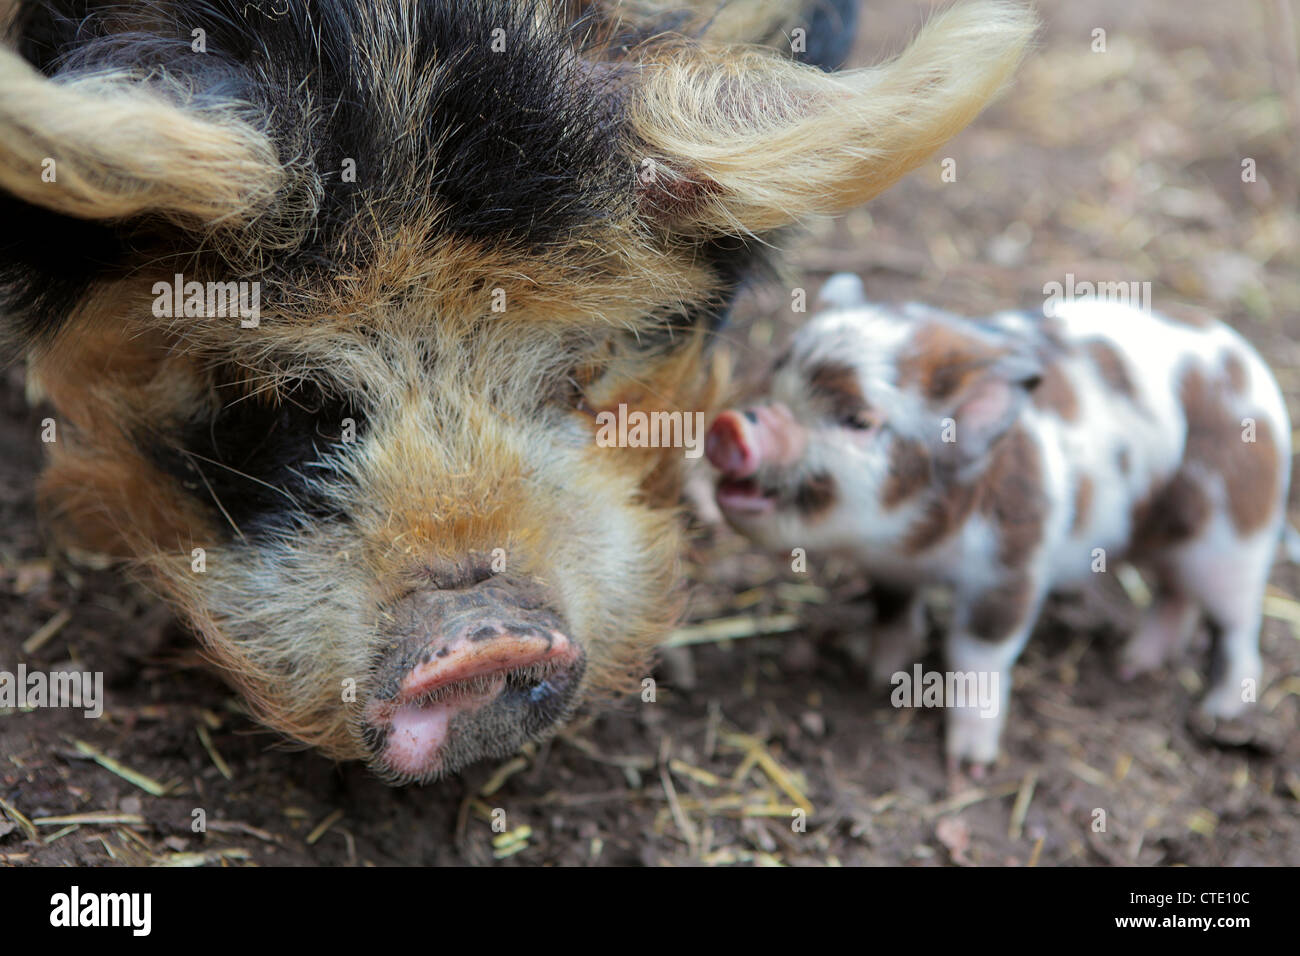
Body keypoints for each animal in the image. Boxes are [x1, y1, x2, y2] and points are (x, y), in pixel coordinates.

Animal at [707, 274, 1291, 771]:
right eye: (778, 377)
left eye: (857, 421)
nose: (732, 425)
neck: (917, 540)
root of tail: (1250, 363)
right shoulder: (892, 569)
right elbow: (892, 613)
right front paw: (875, 672)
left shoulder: (1013, 564)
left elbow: (978, 654)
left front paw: (969, 764)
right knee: (1175, 598)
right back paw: (1132, 664)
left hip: (1236, 540)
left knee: (1238, 627)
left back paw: (1220, 710)